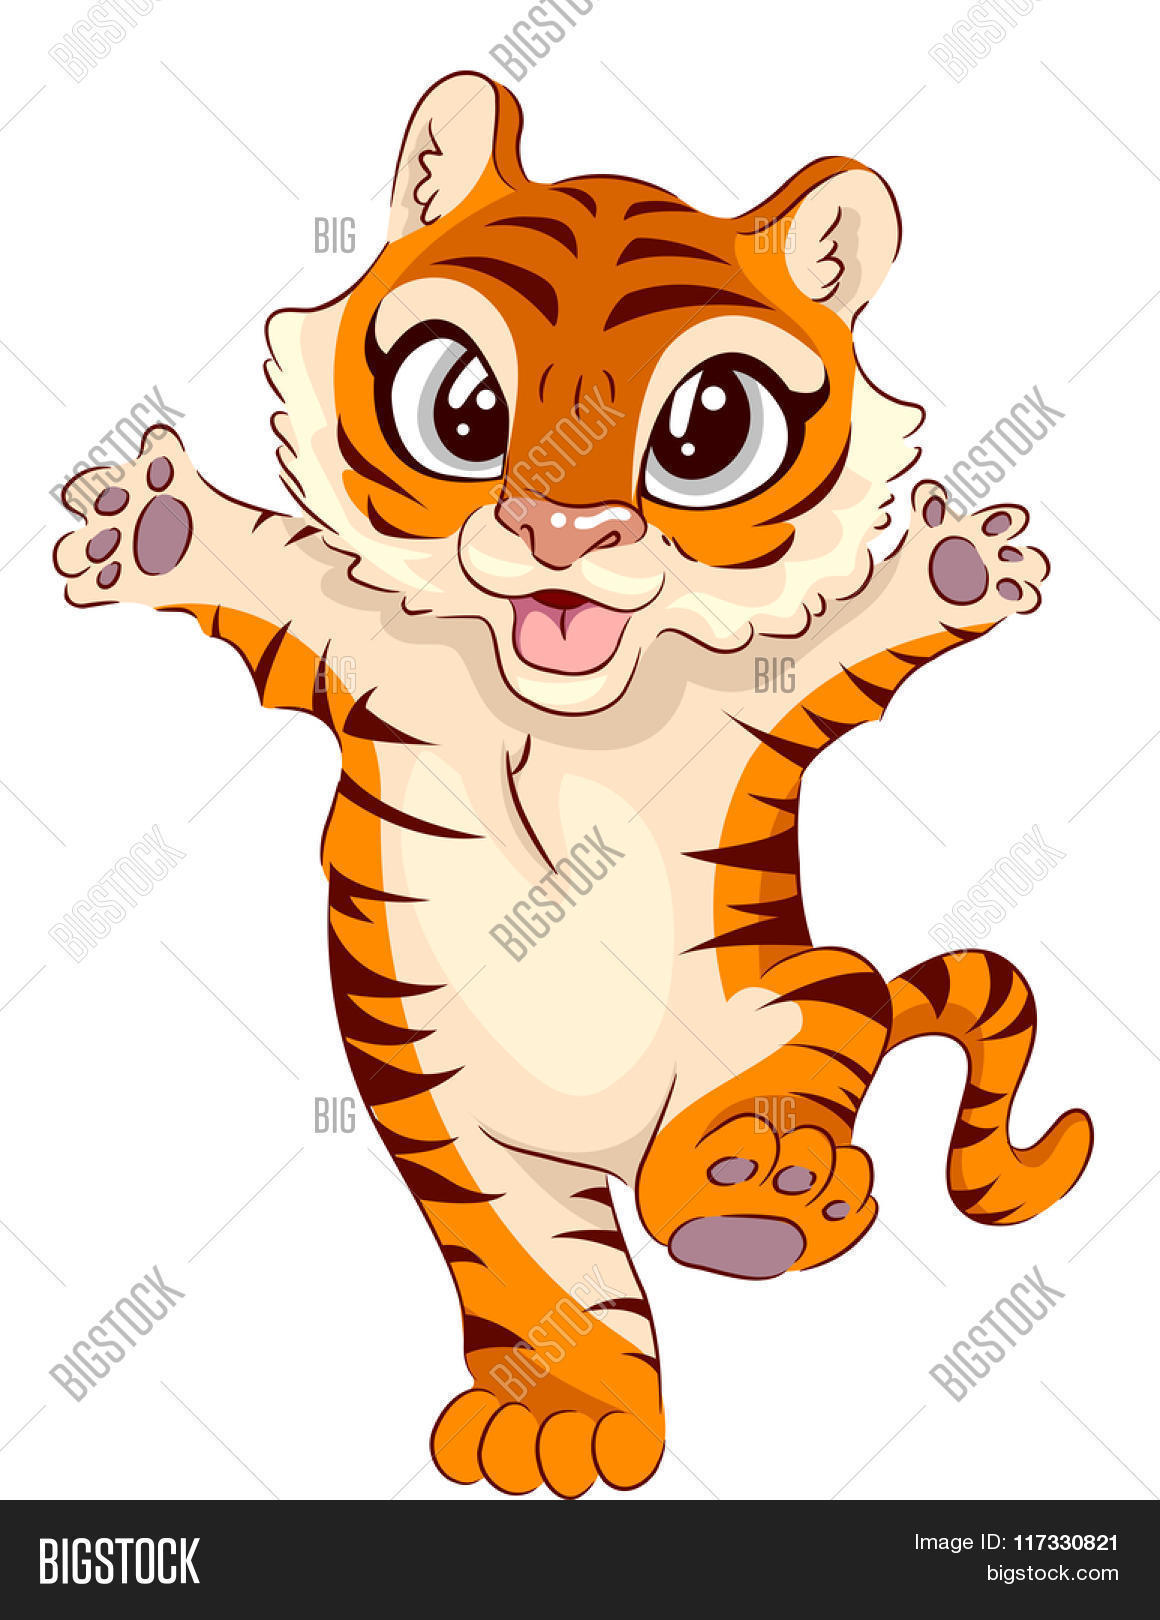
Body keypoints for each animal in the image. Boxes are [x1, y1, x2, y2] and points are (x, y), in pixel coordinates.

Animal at [53, 70, 1093, 1499]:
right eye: (463, 411)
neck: (559, 710)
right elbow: (263, 567)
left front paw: (954, 569)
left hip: (791, 1009)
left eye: (708, 432)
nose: (562, 531)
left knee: (745, 1127)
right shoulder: (345, 655)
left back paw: (757, 1197)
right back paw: (574, 1402)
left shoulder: (779, 694)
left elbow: (859, 633)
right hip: (477, 1135)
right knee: (556, 1269)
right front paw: (144, 525)